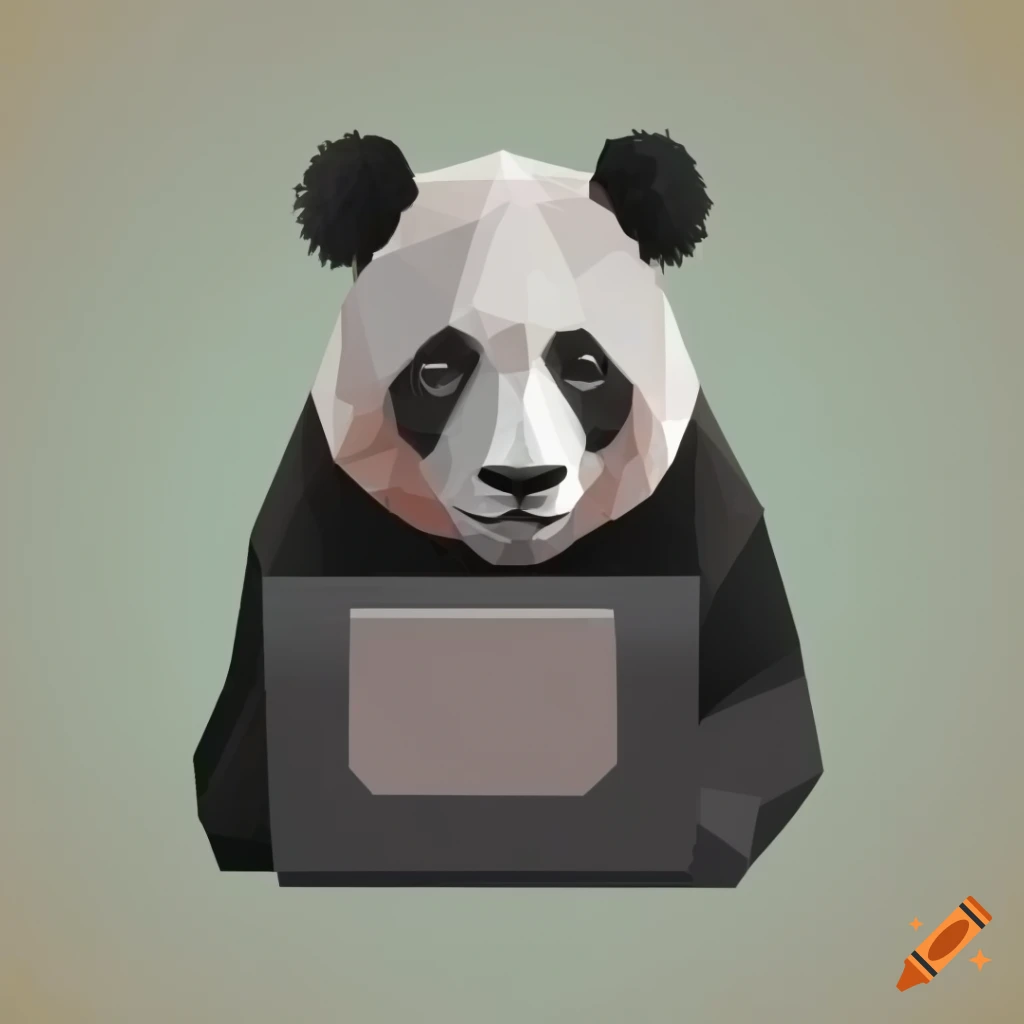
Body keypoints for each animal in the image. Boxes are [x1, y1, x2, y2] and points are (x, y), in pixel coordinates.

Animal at [193, 130, 823, 887]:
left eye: (584, 366)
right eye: (437, 371)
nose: (522, 479)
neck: (511, 570)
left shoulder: (695, 509)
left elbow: (750, 701)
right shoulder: (323, 518)